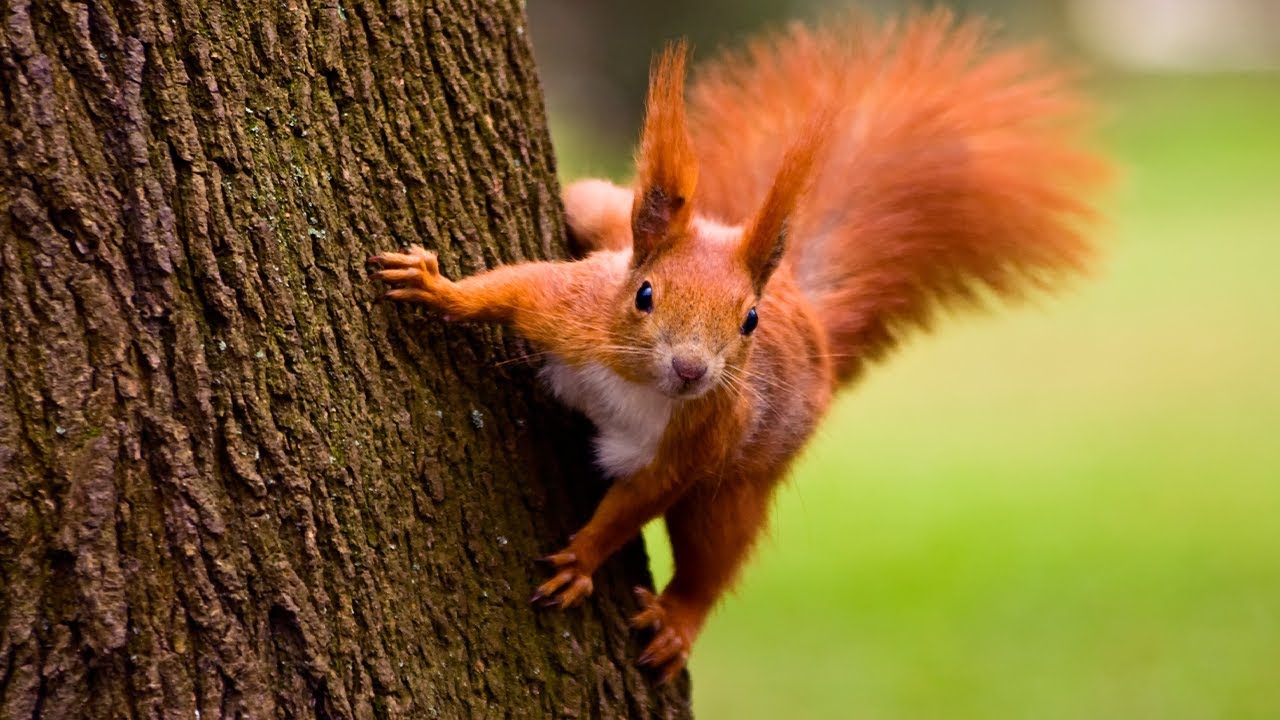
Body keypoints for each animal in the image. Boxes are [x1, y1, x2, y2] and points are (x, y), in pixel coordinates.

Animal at [370, 10, 1105, 683]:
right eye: (644, 295)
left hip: (741, 483)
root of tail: (809, 317)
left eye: (749, 321)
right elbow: (511, 289)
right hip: (603, 217)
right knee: (591, 204)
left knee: (714, 553)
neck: (637, 384)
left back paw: (678, 620)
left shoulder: (701, 440)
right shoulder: (572, 312)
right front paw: (437, 287)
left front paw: (582, 560)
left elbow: (637, 502)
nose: (691, 369)